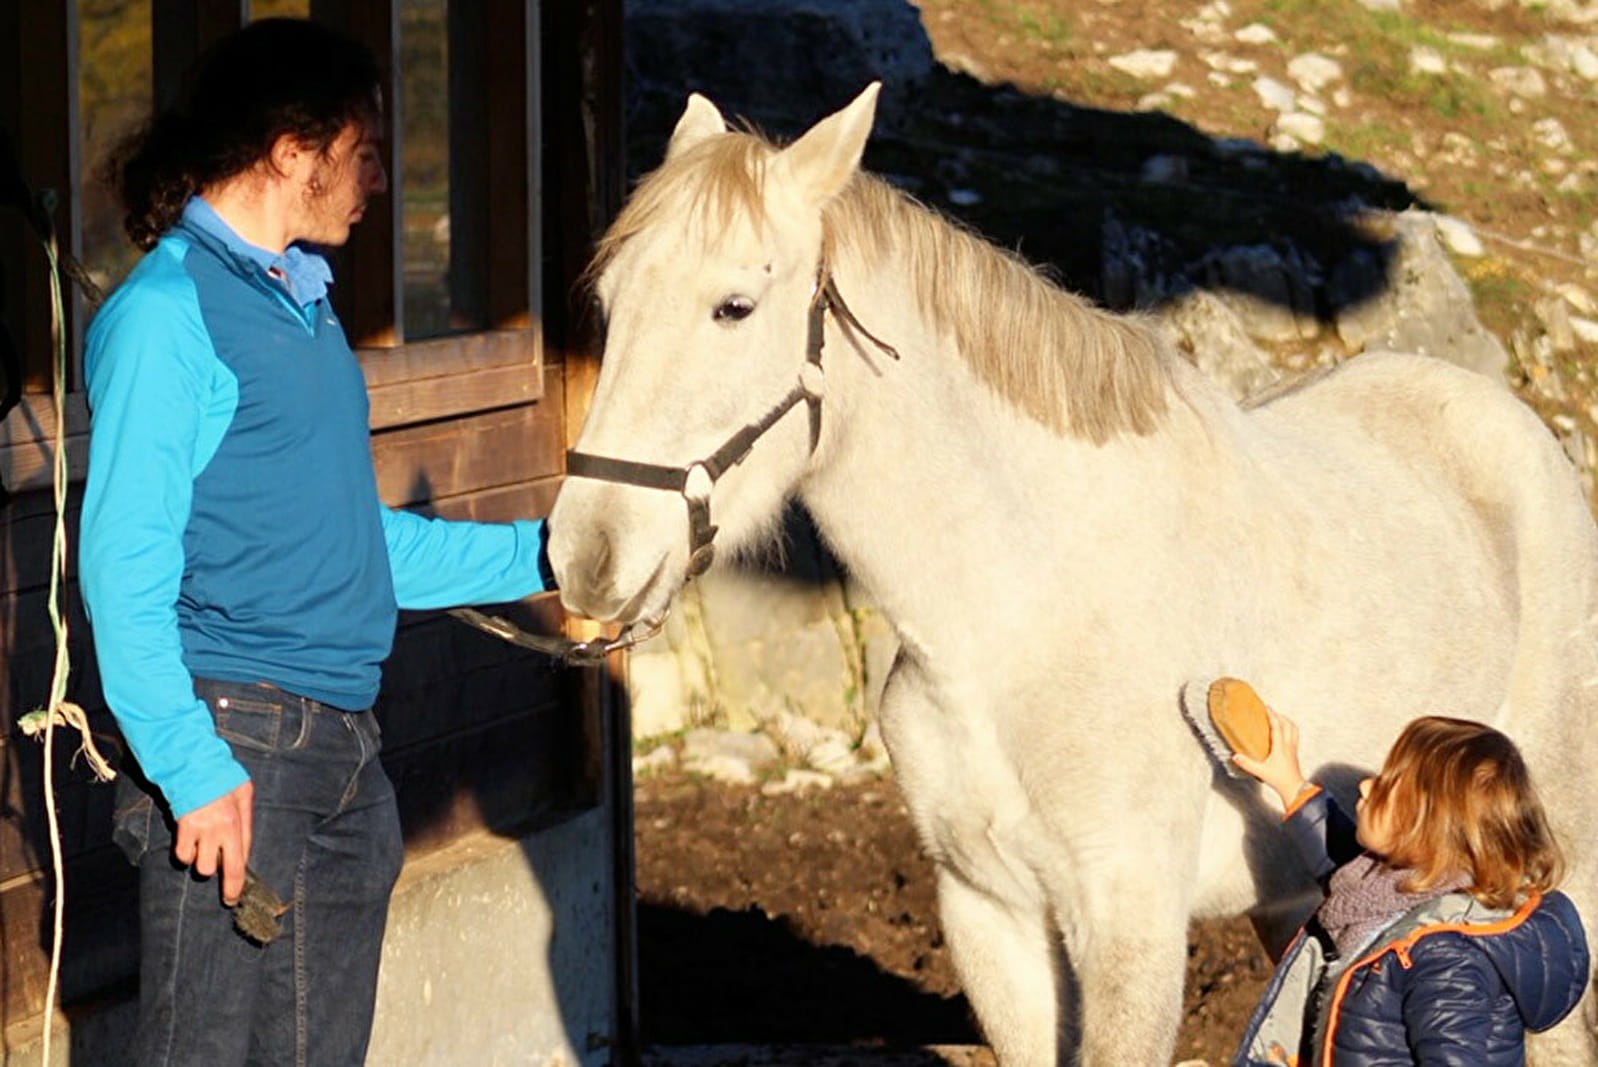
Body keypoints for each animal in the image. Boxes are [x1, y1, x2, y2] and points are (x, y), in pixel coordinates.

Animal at [546, 83, 1598, 1064]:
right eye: (611, 305)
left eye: (734, 307)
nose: (584, 552)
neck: (1020, 617)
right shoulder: (990, 913)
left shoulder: (1131, 933)